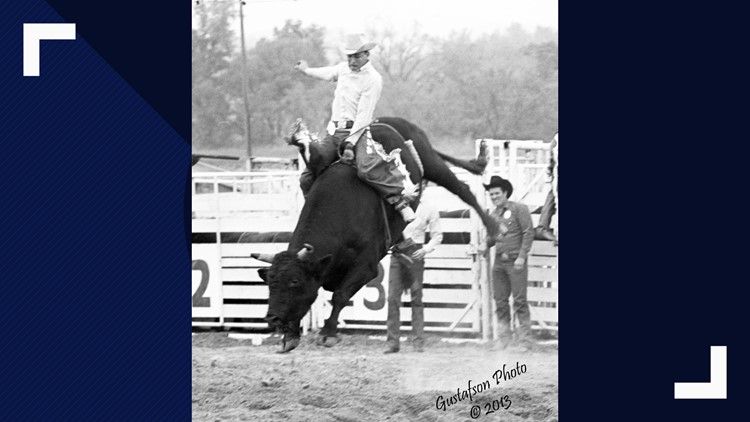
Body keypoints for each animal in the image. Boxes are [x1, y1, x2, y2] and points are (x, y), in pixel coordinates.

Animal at [252, 117, 499, 353]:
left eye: (294, 281)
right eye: (270, 281)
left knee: (463, 190)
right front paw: (290, 337)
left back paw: (494, 231)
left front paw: (328, 333)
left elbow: (339, 295)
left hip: (431, 163)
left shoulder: (366, 265)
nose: (272, 318)